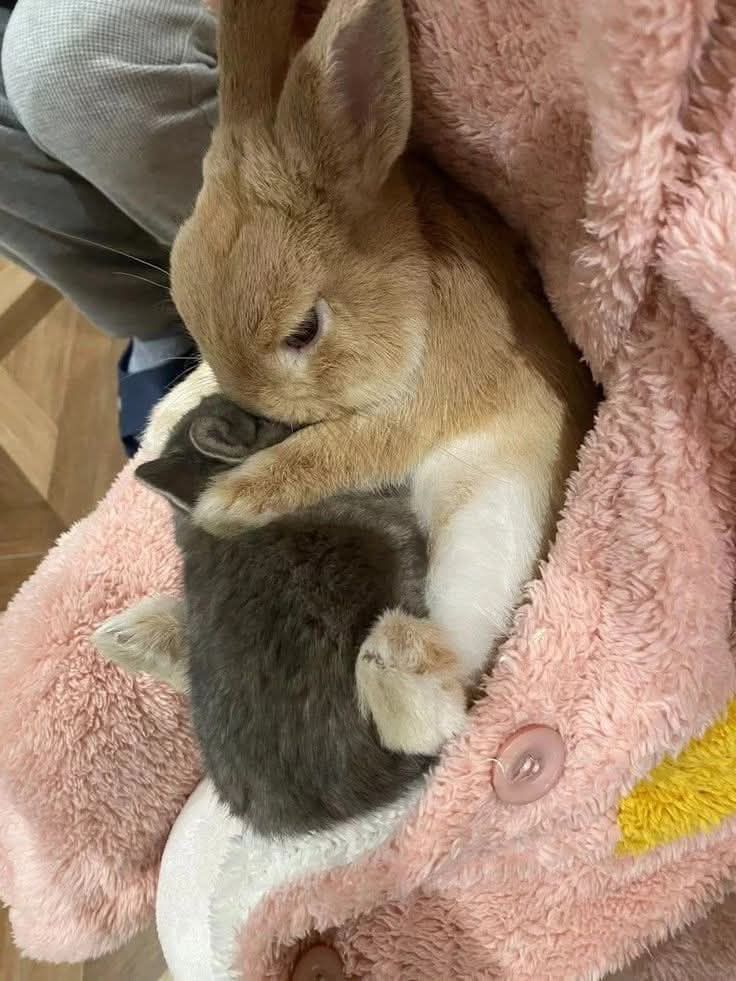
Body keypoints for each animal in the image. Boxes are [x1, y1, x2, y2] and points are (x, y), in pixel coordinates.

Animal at [165, 0, 597, 754]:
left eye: (303, 331)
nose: (256, 408)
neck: (413, 283)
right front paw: (164, 414)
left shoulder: (420, 405)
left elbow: (335, 450)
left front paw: (229, 501)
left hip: (493, 521)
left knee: (456, 683)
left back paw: (398, 677)